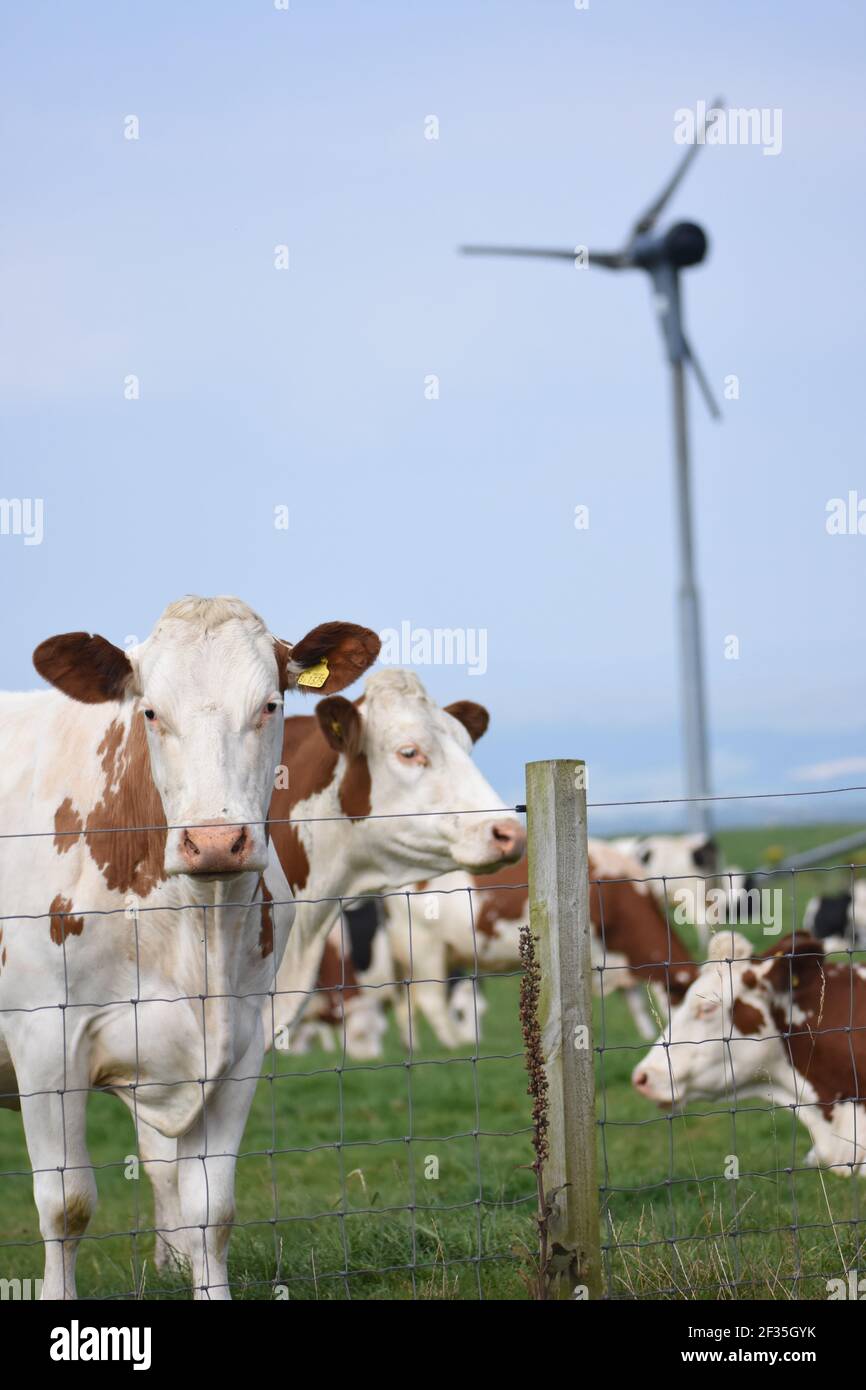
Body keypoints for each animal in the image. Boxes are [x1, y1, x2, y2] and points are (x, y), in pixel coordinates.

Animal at [0, 596, 379, 1299]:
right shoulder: (44, 1042)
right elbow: (66, 1205)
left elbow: (211, 1208)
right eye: (150, 711)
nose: (214, 842)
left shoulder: (239, 1046)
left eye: (270, 704)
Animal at [384, 840, 699, 1047]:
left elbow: (634, 1000)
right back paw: (454, 1046)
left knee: (407, 1003)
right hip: (426, 949)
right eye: (685, 999)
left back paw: (413, 1046)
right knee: (431, 1000)